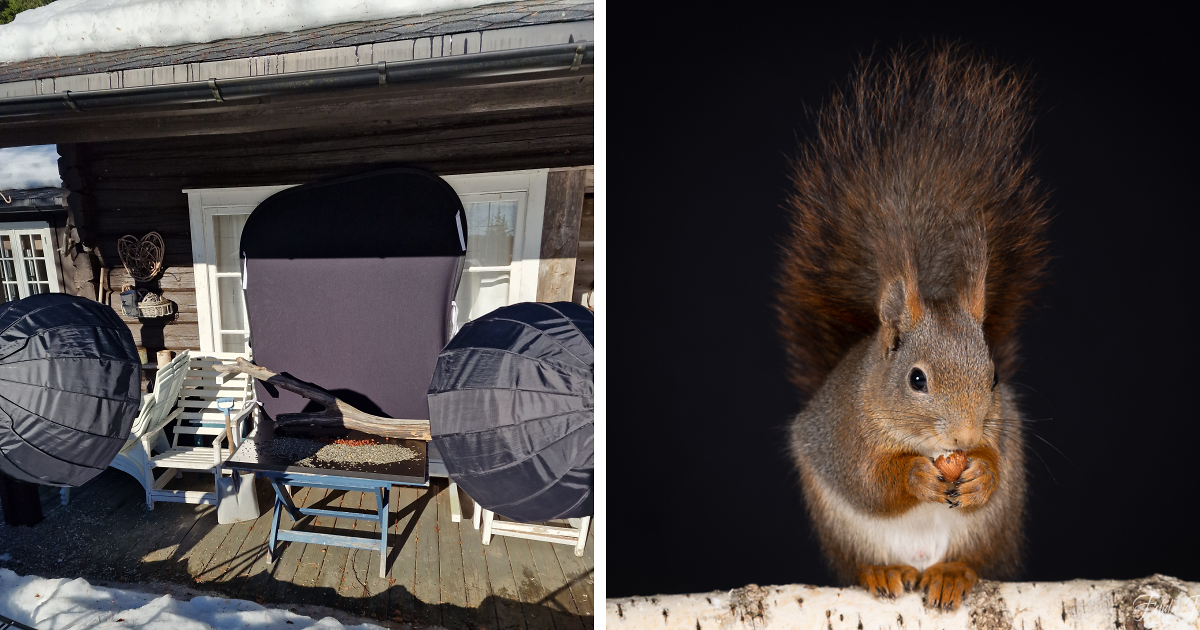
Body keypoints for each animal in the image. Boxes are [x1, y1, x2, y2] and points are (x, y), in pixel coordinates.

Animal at [778, 44, 1051, 611]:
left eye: (994, 377)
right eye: (916, 379)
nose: (966, 436)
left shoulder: (1002, 428)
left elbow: (995, 464)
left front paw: (981, 472)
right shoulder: (843, 434)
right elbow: (870, 482)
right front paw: (913, 475)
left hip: (991, 528)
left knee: (973, 558)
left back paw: (952, 573)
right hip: (844, 531)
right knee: (865, 557)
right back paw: (881, 571)